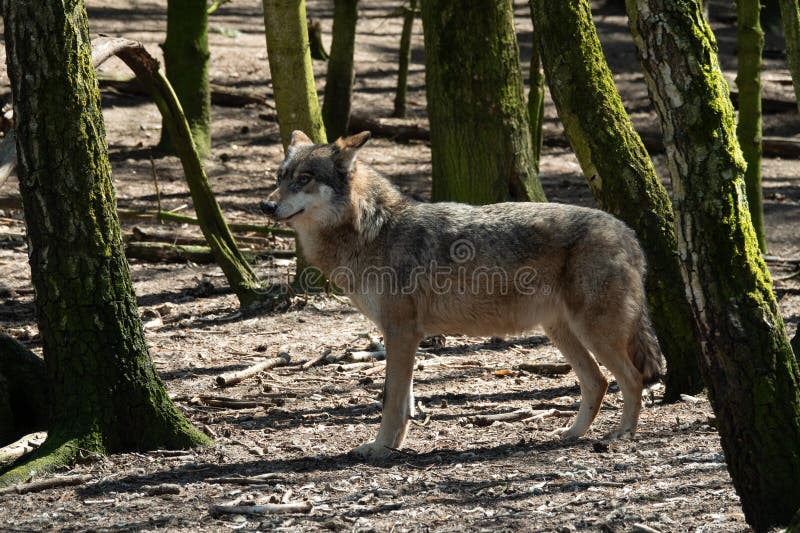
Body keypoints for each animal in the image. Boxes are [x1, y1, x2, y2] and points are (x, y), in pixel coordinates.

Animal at [261, 131, 663, 460]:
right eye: (279, 177)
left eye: (304, 179)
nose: (265, 206)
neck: (373, 231)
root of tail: (629, 234)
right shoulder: (403, 335)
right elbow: (404, 400)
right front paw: (393, 446)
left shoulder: (401, 331)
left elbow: (391, 399)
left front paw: (380, 448)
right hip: (562, 332)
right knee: (598, 382)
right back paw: (571, 434)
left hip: (594, 333)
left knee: (631, 379)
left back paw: (621, 436)